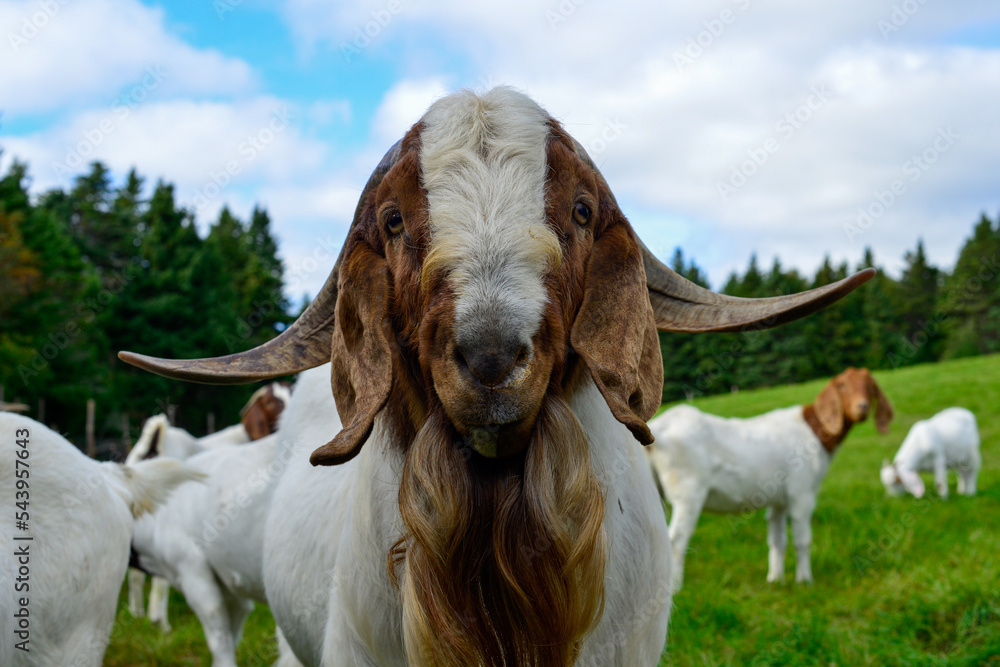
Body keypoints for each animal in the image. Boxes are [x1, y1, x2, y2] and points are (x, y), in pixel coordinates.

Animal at [648, 367, 893, 589]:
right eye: (842, 385)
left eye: (871, 387)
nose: (862, 407)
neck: (813, 431)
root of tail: (659, 430)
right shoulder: (801, 493)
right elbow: (802, 539)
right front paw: (805, 581)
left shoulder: (779, 501)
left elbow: (777, 541)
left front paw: (776, 580)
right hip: (688, 492)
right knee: (676, 540)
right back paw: (674, 589)